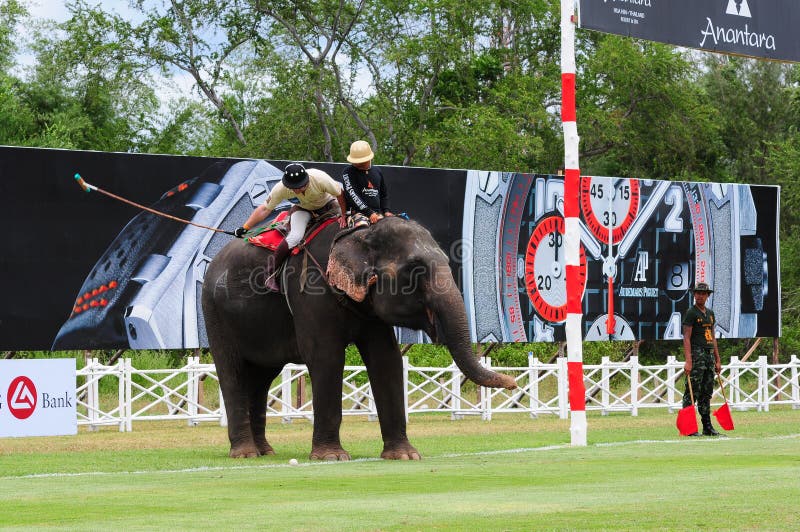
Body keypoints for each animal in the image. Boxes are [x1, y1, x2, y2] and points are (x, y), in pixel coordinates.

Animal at [201, 215, 516, 460]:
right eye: (415, 269)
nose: (513, 383)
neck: (360, 234)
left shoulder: (371, 310)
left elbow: (386, 359)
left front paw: (404, 456)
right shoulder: (312, 290)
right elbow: (327, 357)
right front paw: (331, 457)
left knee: (261, 377)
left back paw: (265, 451)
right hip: (214, 313)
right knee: (232, 372)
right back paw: (244, 453)